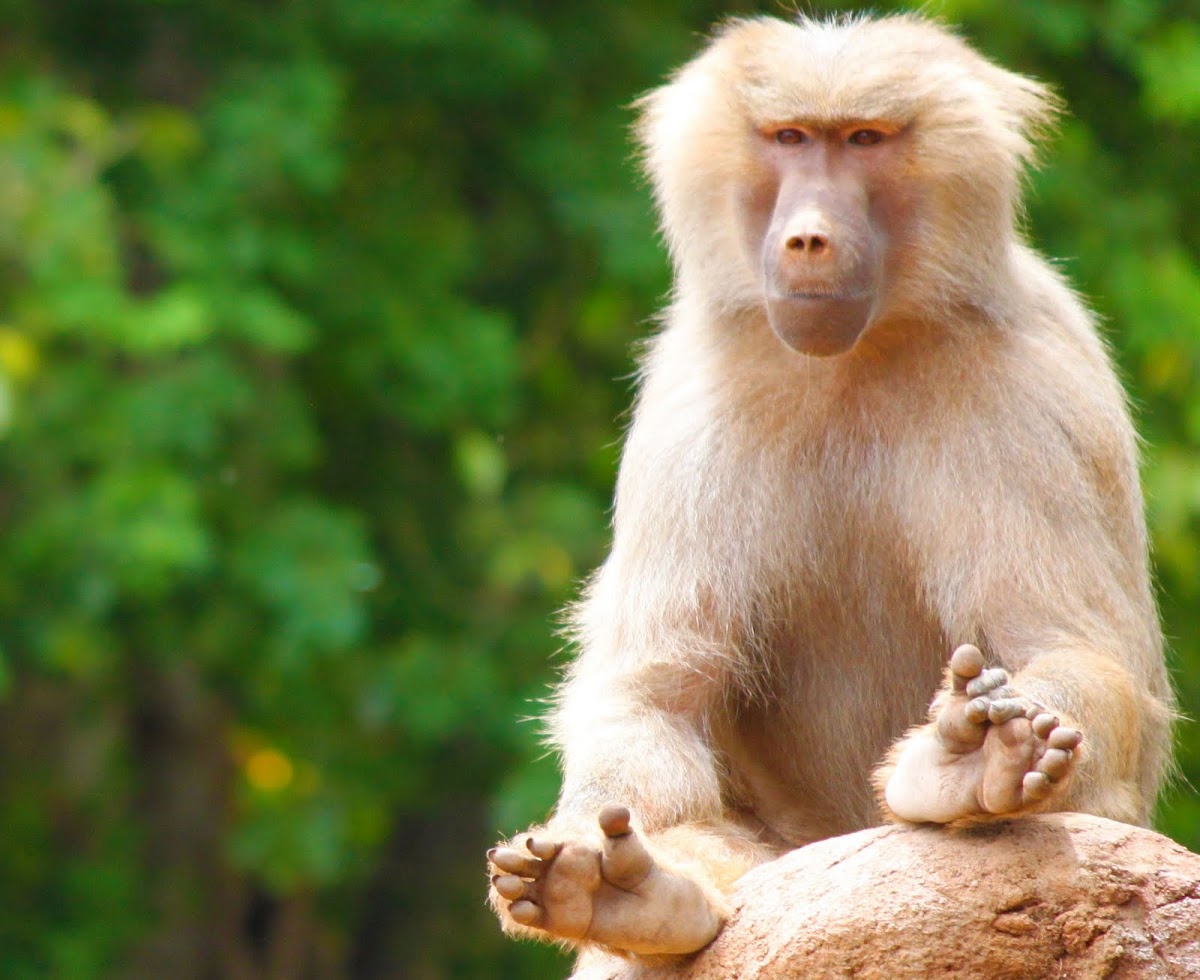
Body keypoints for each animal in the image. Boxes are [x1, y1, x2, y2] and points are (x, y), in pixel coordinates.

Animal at [487, 13, 1175, 970]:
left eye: (863, 140)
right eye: (788, 138)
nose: (808, 238)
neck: (858, 353)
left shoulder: (1038, 384)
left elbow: (1081, 648)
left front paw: (981, 753)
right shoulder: (691, 407)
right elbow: (656, 690)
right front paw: (600, 869)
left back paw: (960, 772)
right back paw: (629, 897)